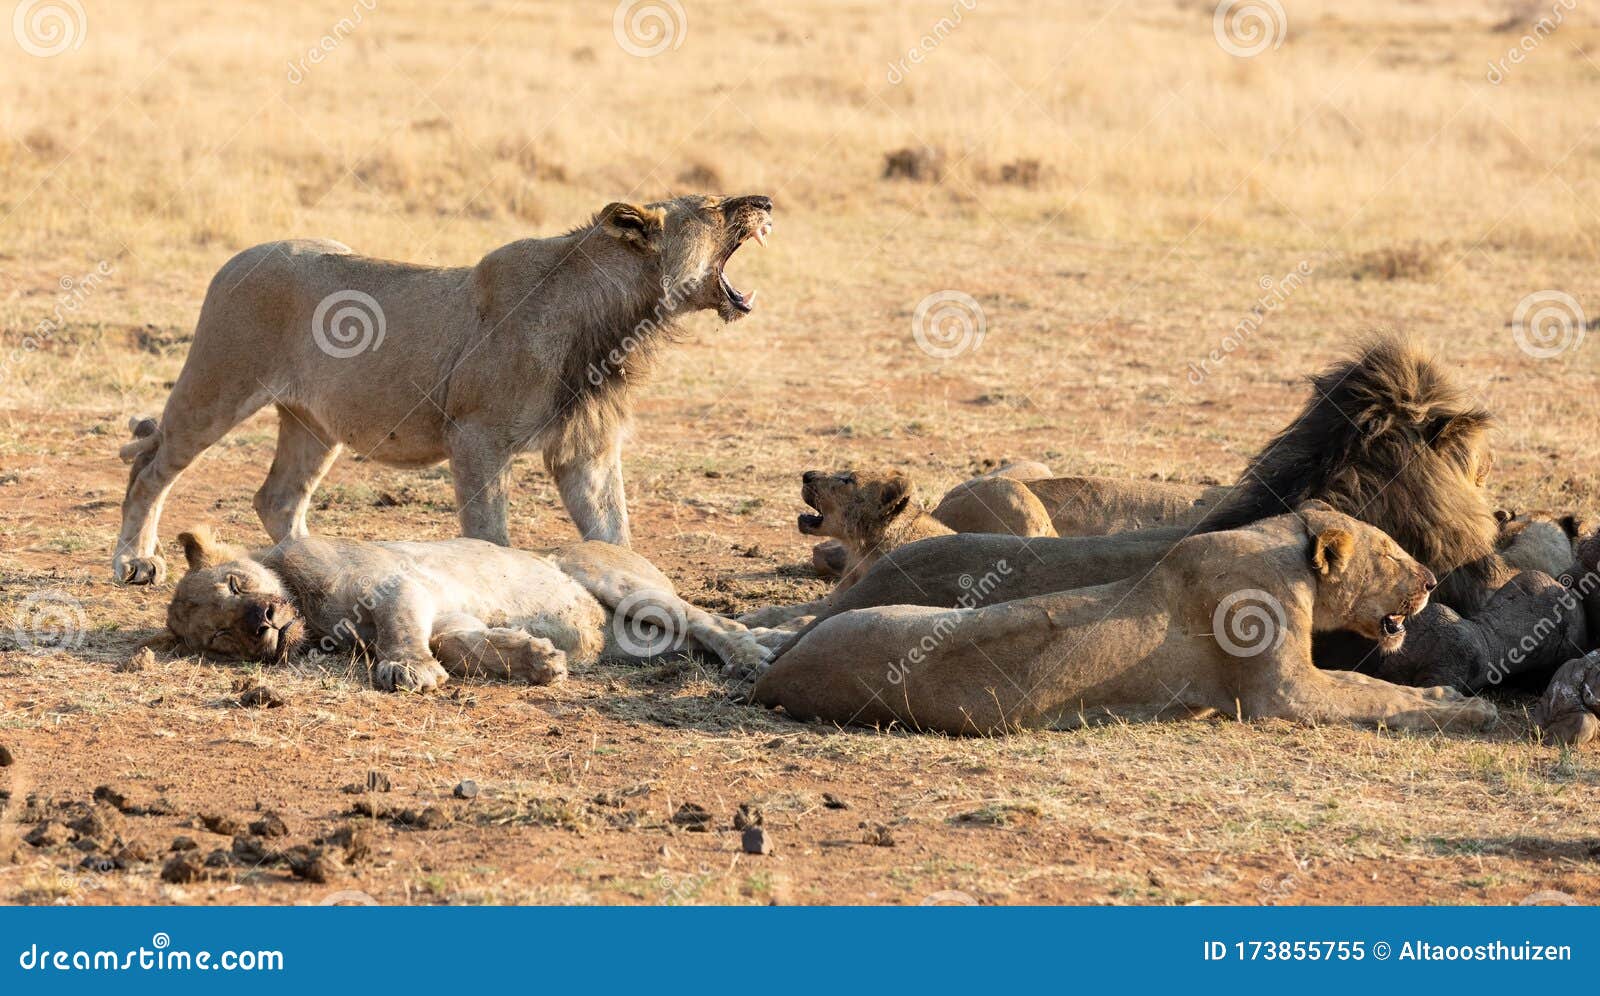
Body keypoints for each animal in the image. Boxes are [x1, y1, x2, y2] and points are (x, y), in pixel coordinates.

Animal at [114, 194, 775, 585]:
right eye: (715, 208)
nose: (766, 201)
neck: (621, 324)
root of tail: (238, 256)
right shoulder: (476, 437)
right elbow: (490, 533)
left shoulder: (587, 449)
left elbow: (614, 533)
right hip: (216, 386)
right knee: (151, 469)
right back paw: (135, 561)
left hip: (312, 423)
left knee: (276, 498)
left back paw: (314, 565)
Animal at [158, 526, 776, 692]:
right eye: (219, 637)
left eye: (236, 584)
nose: (261, 622)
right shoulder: (446, 614)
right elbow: (459, 645)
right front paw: (539, 660)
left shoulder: (398, 584)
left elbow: (402, 634)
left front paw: (406, 669)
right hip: (644, 638)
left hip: (620, 581)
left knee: (712, 620)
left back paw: (749, 659)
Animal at [750, 503, 1497, 736]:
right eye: (1393, 552)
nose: (1432, 580)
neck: (1285, 543)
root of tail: (774, 676)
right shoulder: (1281, 693)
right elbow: (1377, 695)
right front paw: (1464, 706)